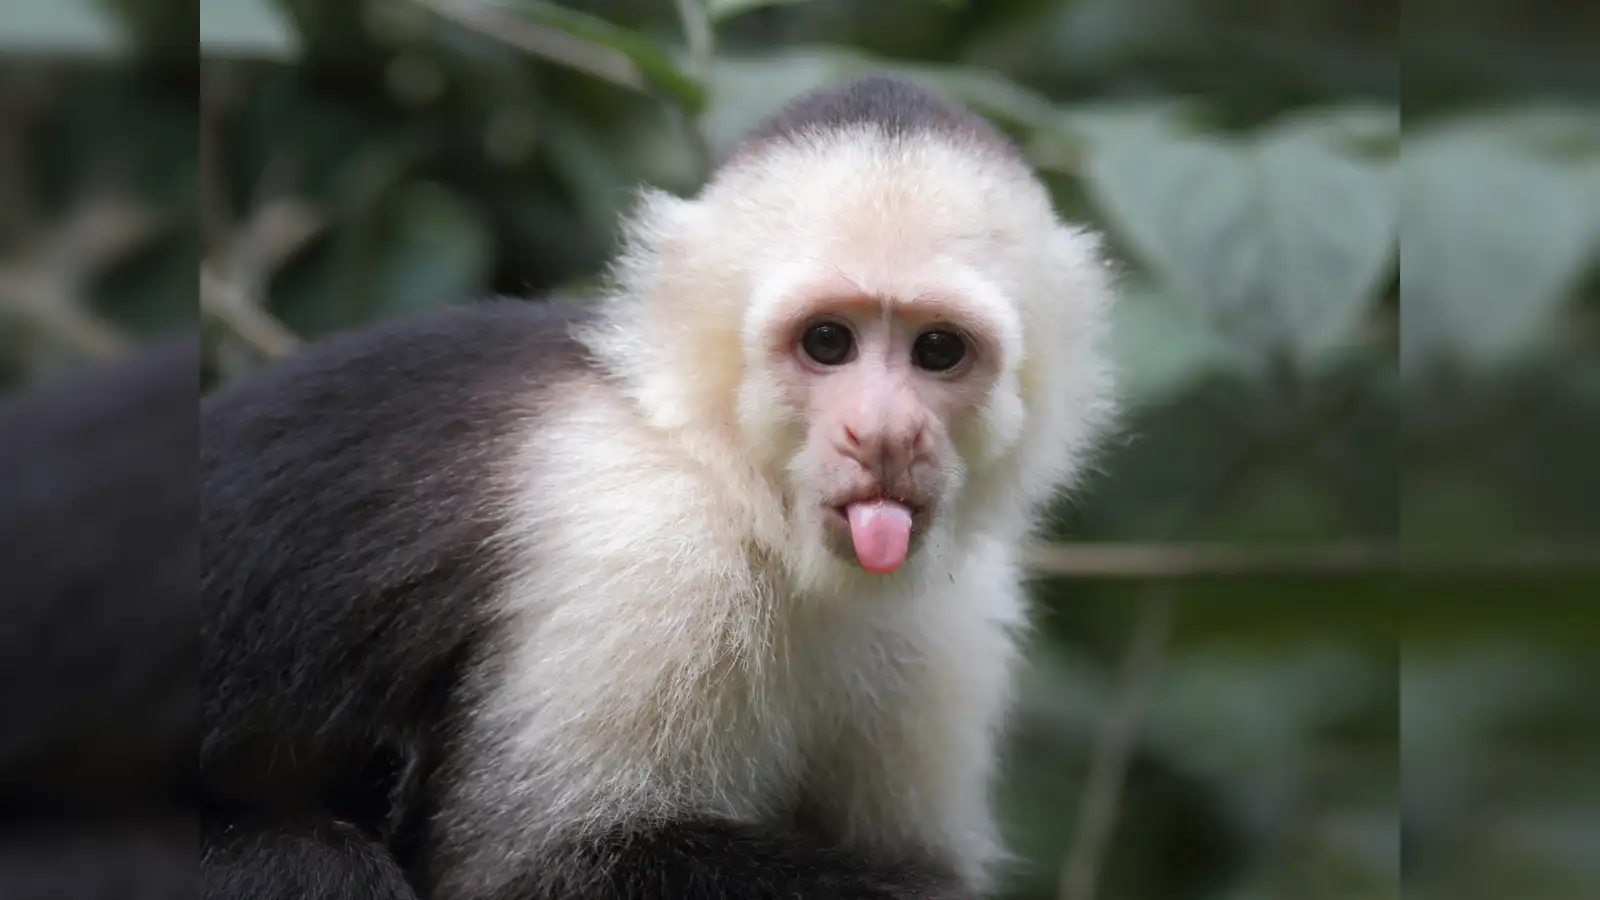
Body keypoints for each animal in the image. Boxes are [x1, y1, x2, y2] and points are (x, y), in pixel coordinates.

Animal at [199, 75, 1117, 900]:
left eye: (937, 351)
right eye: (828, 342)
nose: (885, 434)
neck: (747, 500)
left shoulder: (956, 620)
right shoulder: (650, 543)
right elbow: (534, 867)